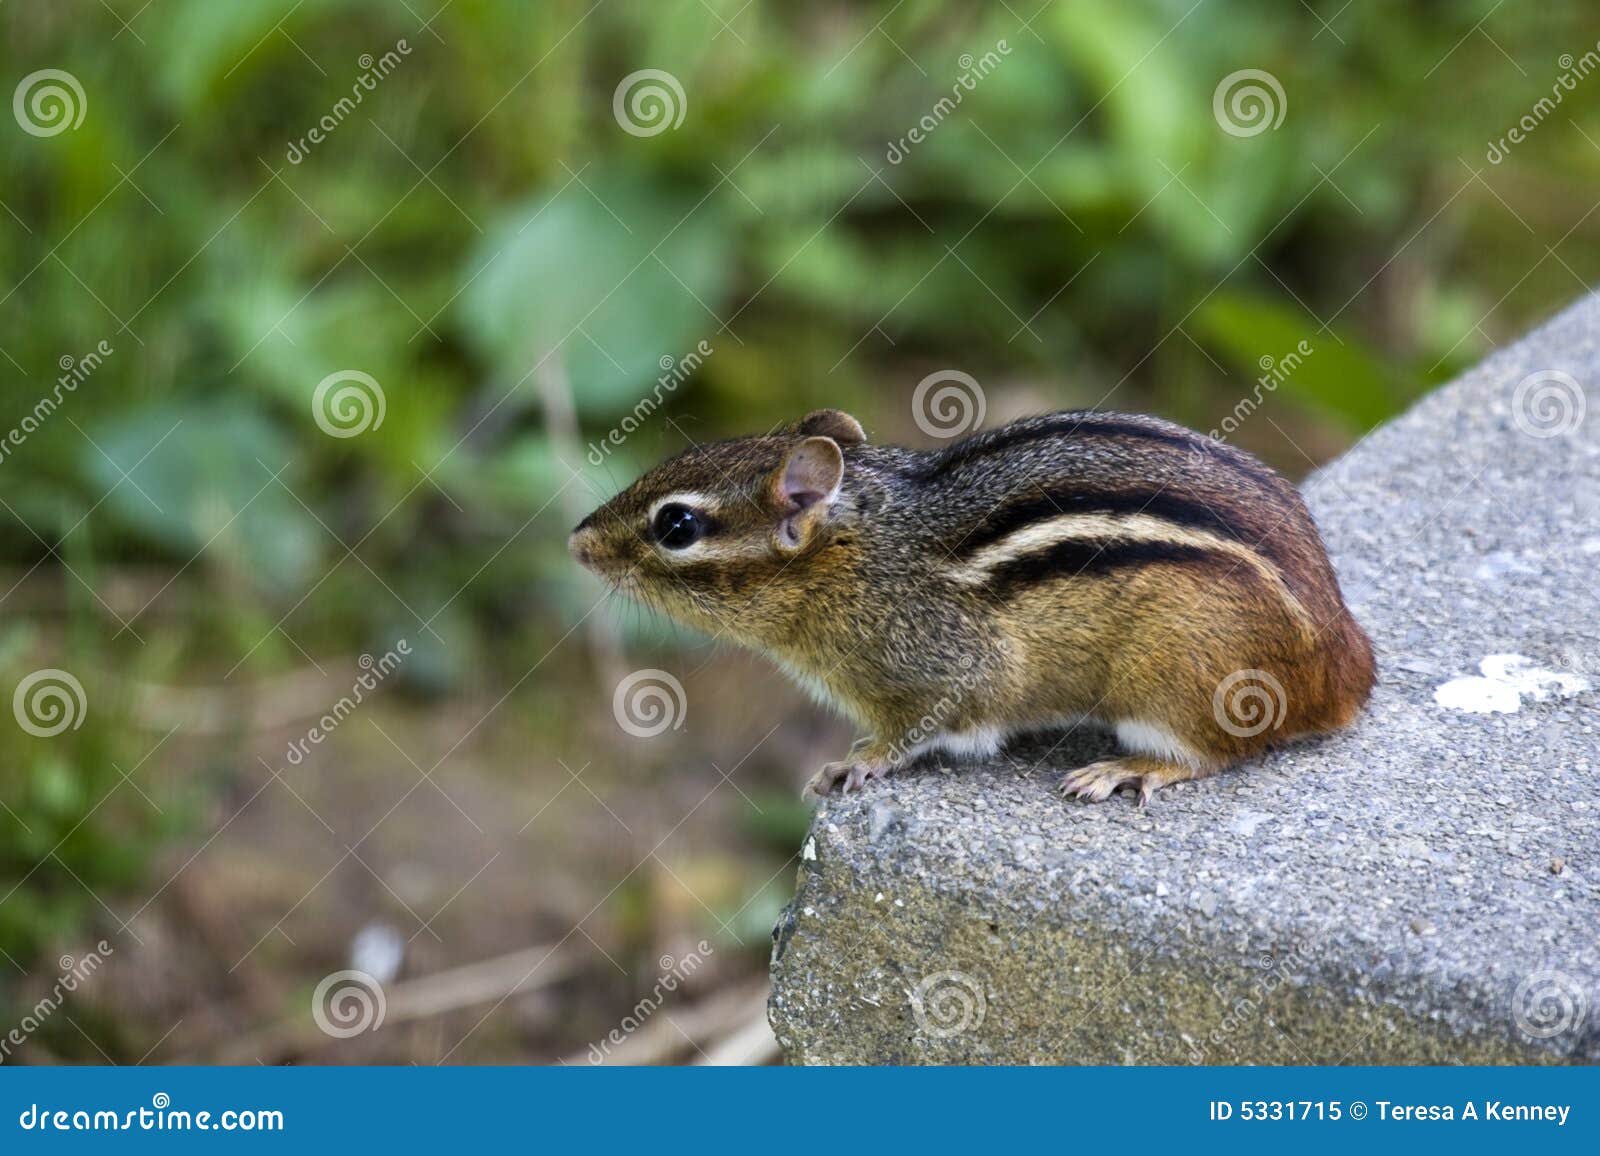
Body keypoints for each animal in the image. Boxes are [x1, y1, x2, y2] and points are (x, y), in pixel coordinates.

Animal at [569, 409, 1375, 804]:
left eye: (676, 525)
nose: (578, 541)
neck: (857, 553)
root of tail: (1345, 664)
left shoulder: (941, 667)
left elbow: (923, 726)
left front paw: (859, 764)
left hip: (1181, 676)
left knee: (1213, 754)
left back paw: (1130, 770)